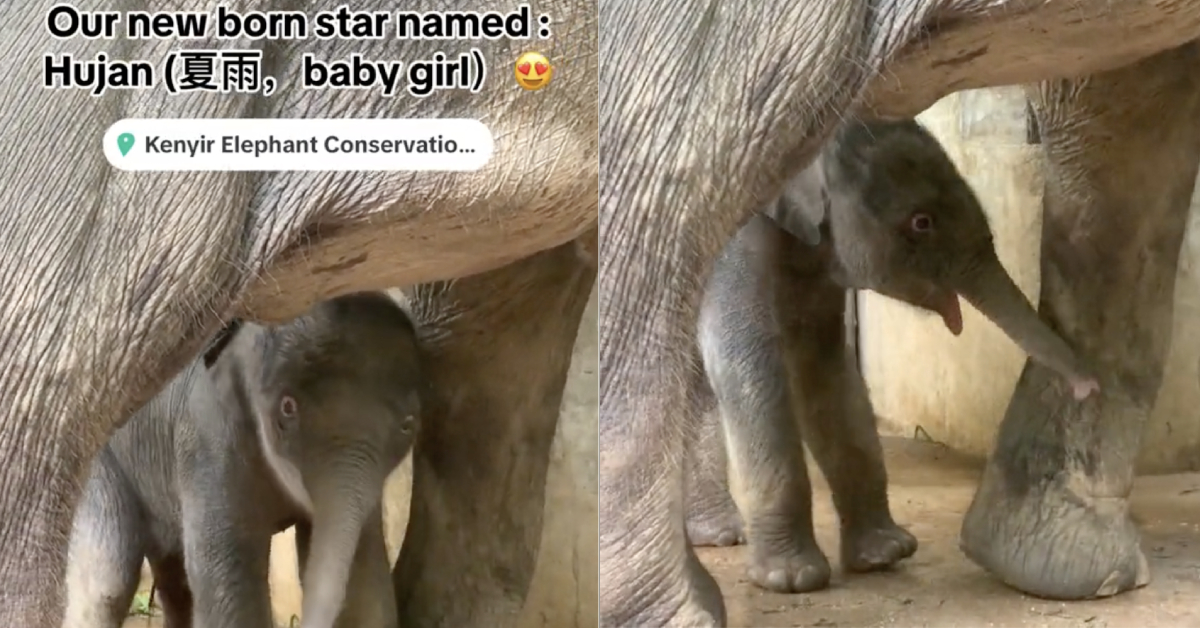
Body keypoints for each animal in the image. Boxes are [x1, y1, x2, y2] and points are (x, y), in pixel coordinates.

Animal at [63, 292, 423, 628]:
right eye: (287, 408)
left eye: (408, 425)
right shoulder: (209, 436)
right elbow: (230, 579)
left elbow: (367, 572)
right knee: (107, 583)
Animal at [684, 118, 1096, 593]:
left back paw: (718, 534)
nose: (1089, 388)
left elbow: (822, 364)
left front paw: (886, 554)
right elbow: (747, 359)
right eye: (922, 222)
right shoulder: (731, 245)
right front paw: (793, 580)